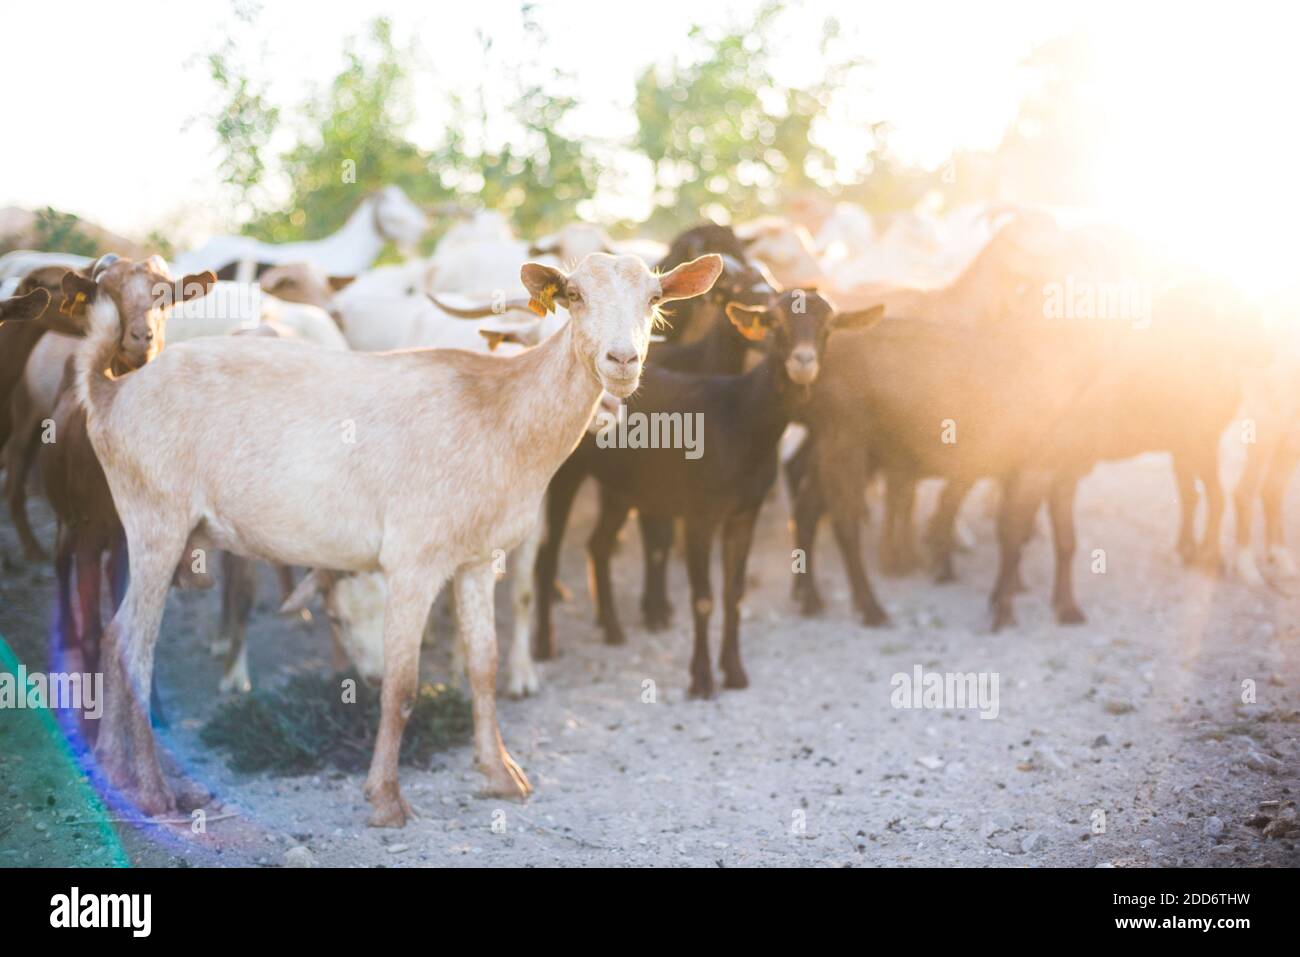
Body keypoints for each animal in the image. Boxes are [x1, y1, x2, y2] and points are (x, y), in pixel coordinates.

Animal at [71, 251, 721, 825]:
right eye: (576, 295)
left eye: (656, 298)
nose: (622, 360)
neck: (501, 412)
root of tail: (110, 392)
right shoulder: (413, 558)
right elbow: (403, 684)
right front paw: (386, 800)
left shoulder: (477, 558)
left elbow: (483, 666)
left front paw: (502, 775)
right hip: (157, 519)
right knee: (133, 644)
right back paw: (154, 792)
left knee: (111, 635)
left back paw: (111, 769)